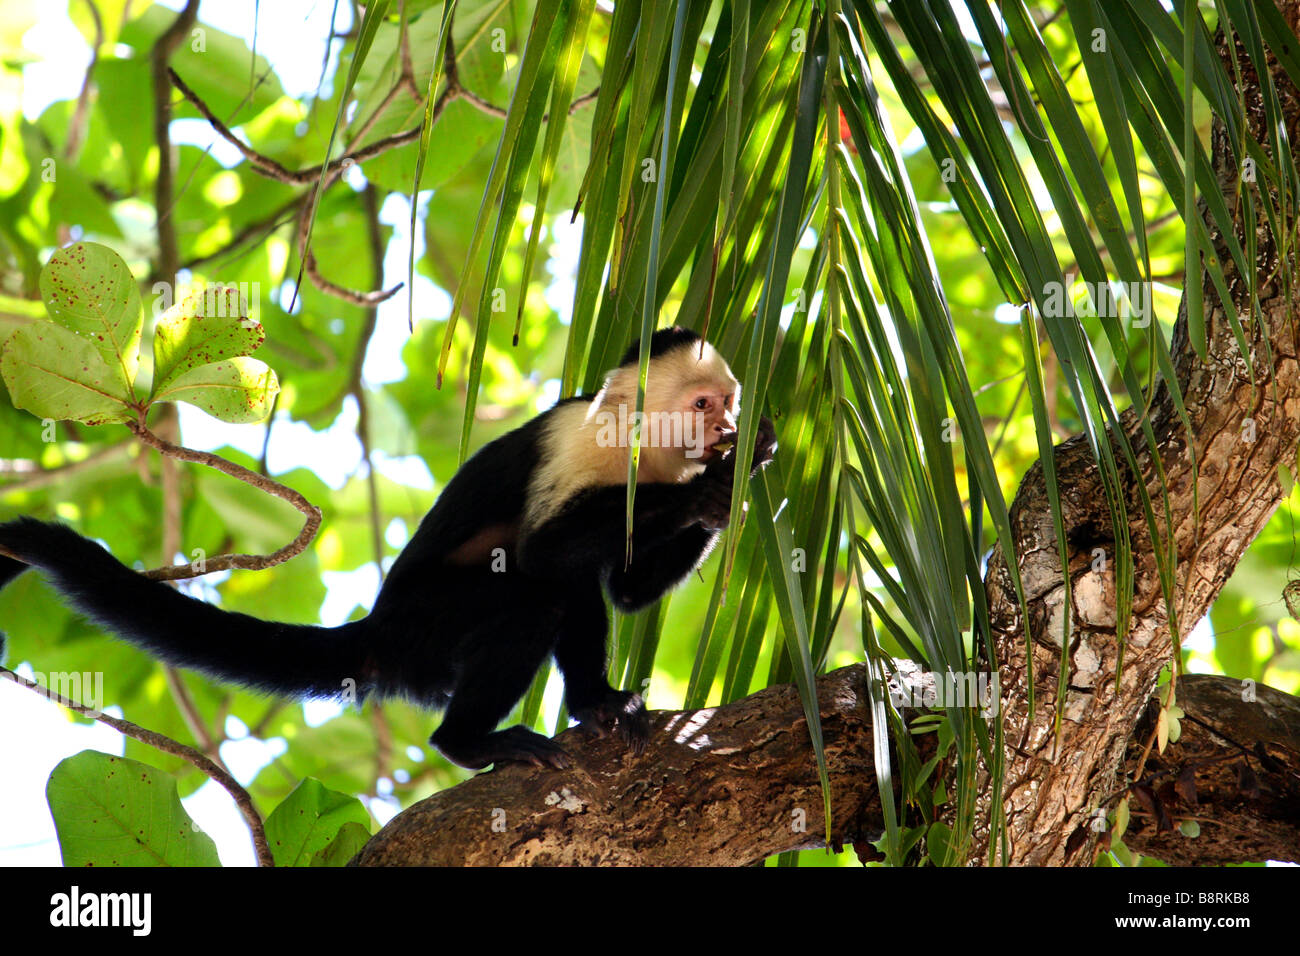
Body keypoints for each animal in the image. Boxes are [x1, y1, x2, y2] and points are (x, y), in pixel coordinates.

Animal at [0, 327, 776, 771]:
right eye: (703, 403)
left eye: (729, 402)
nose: (727, 428)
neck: (642, 449)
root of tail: (380, 629)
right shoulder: (579, 440)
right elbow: (544, 552)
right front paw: (722, 480)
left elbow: (626, 590)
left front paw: (733, 484)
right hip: (429, 627)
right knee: (536, 593)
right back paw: (469, 743)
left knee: (575, 591)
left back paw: (595, 703)